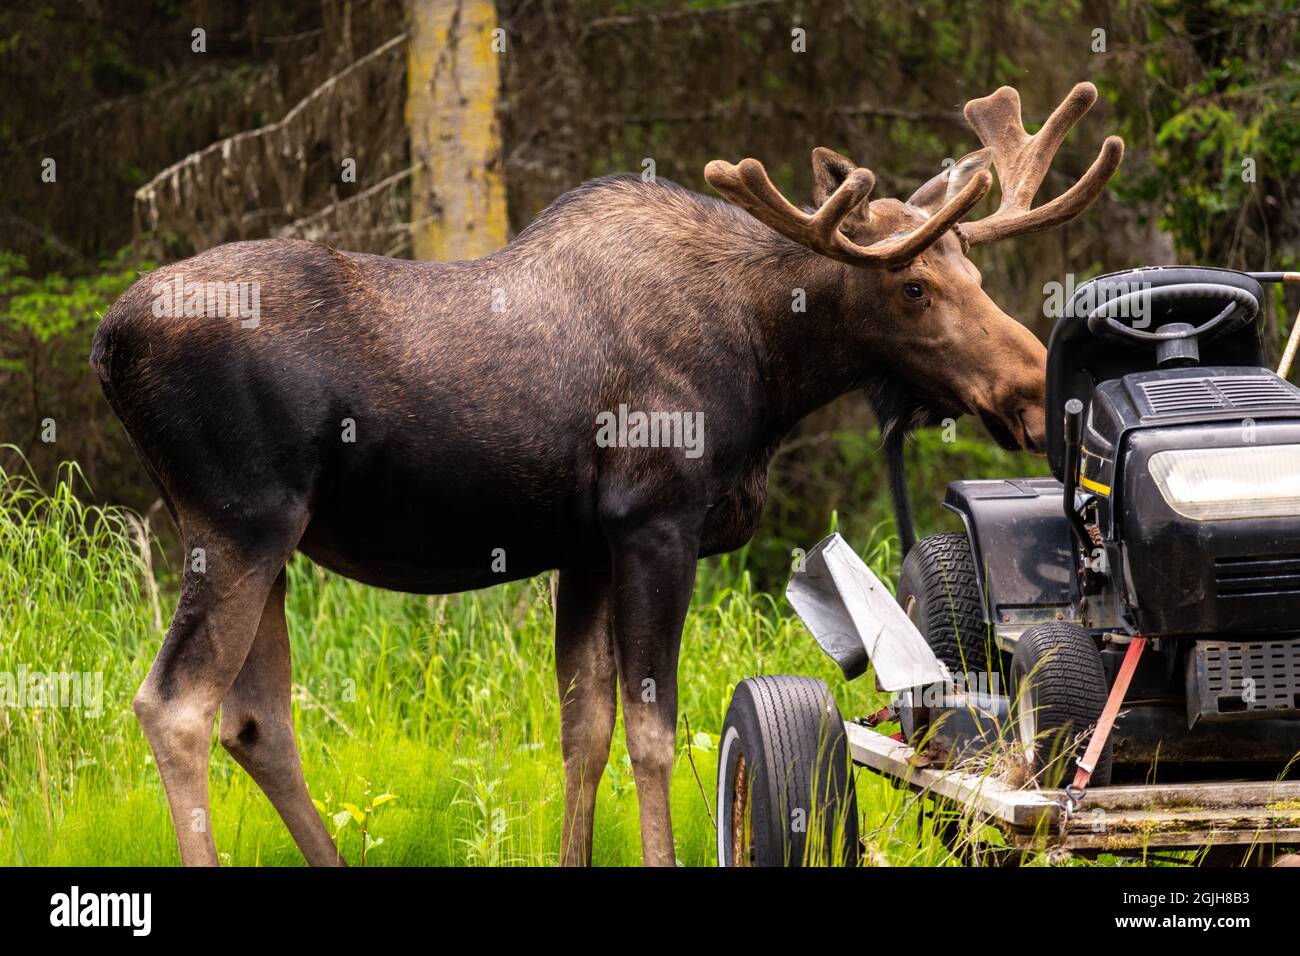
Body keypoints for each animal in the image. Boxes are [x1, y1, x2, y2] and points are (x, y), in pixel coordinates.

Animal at [91, 81, 1122, 867]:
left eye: (972, 276)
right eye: (912, 287)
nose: (1036, 395)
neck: (766, 363)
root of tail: (108, 343)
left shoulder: (582, 547)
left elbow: (582, 730)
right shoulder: (653, 523)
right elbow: (653, 732)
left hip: (269, 541)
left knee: (257, 722)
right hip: (238, 523)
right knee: (175, 706)